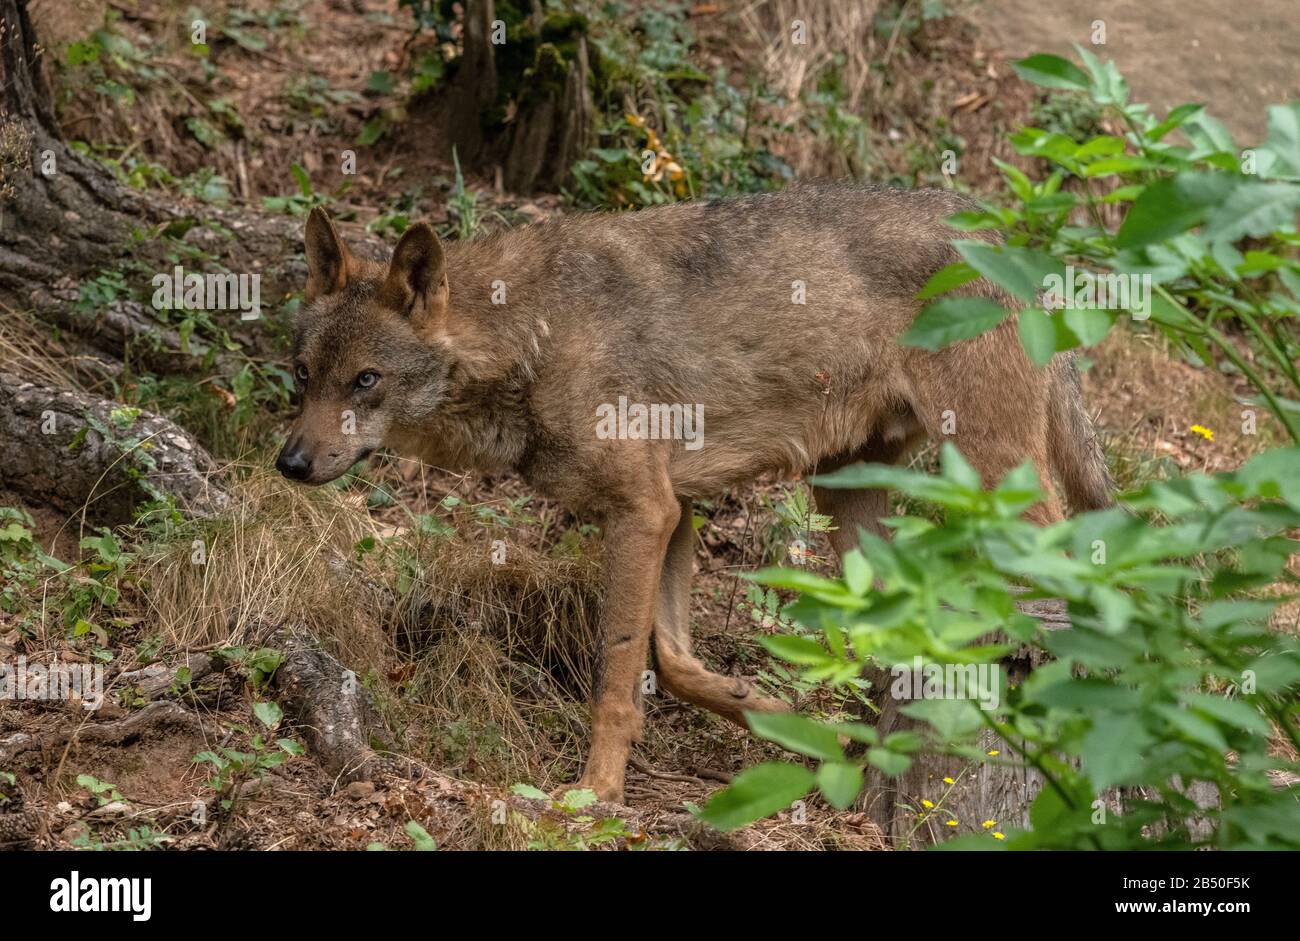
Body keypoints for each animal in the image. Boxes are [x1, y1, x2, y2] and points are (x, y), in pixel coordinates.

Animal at [278, 182, 1111, 803]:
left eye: (366, 380)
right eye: (304, 374)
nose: (289, 461)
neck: (534, 335)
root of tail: (1006, 229)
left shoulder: (643, 513)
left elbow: (616, 674)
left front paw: (596, 794)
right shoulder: (676, 514)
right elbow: (676, 663)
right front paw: (778, 716)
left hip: (991, 471)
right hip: (845, 493)